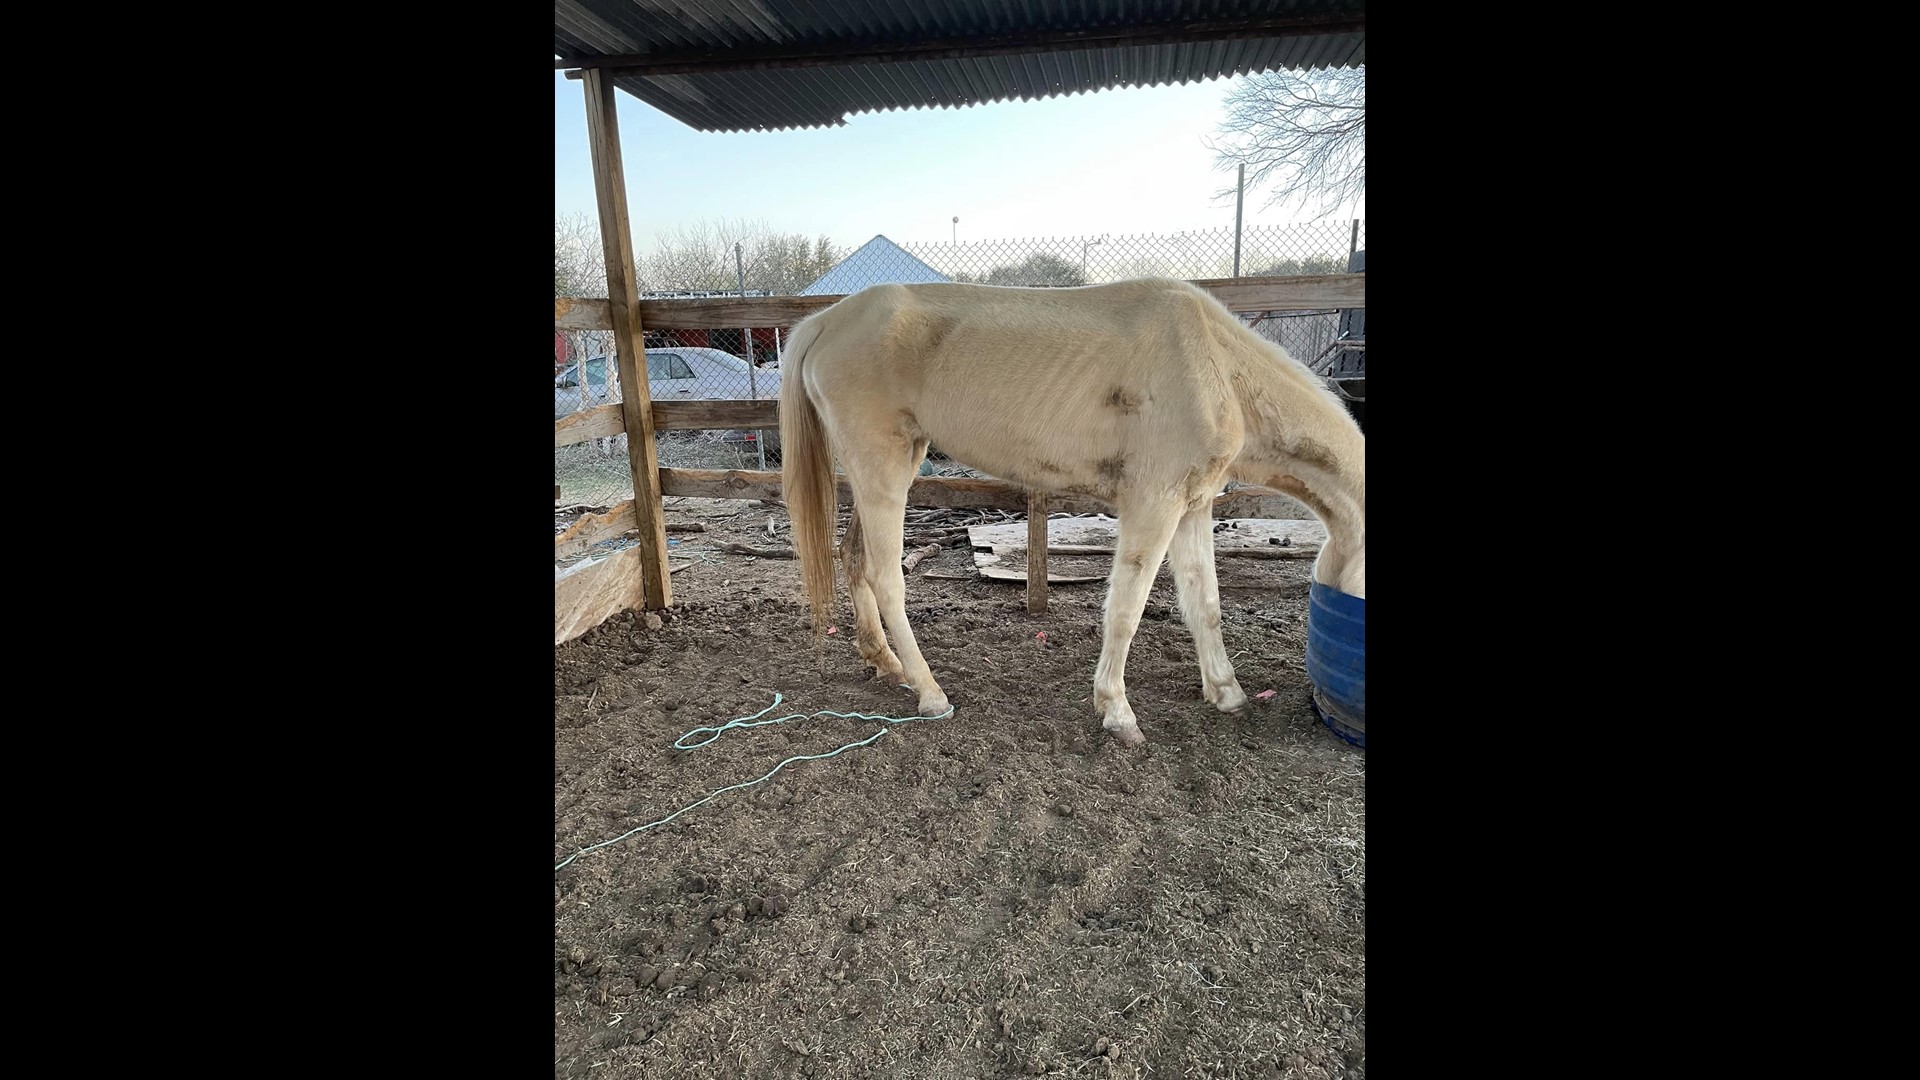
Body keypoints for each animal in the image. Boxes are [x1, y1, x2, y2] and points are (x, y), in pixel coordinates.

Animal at [778, 278, 1365, 746]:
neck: (1214, 363)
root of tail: (827, 321)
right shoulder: (1153, 506)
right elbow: (1126, 609)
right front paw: (1117, 711)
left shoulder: (1192, 509)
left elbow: (1206, 605)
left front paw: (1225, 692)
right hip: (884, 472)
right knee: (884, 576)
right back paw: (929, 691)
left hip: (878, 473)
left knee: (853, 558)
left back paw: (885, 663)